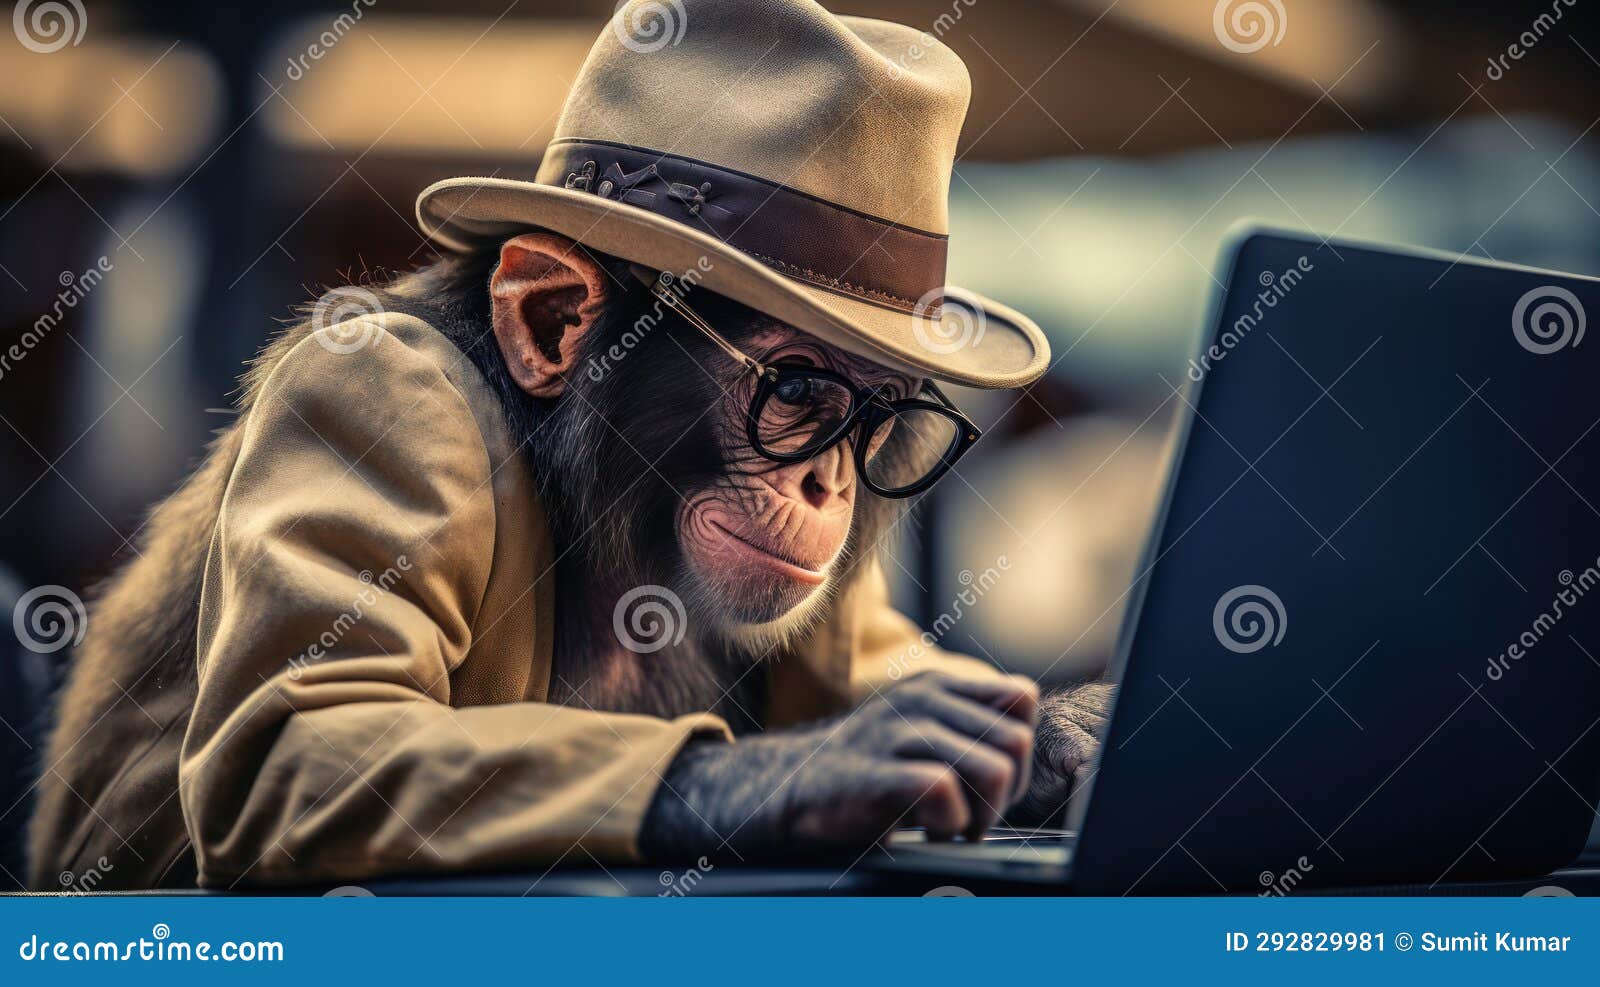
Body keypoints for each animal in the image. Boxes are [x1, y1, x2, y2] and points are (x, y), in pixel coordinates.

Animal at [24, 232, 1109, 890]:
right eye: (801, 389)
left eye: (886, 416)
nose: (827, 488)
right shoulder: (381, 395)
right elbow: (299, 732)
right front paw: (835, 761)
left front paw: (1072, 735)